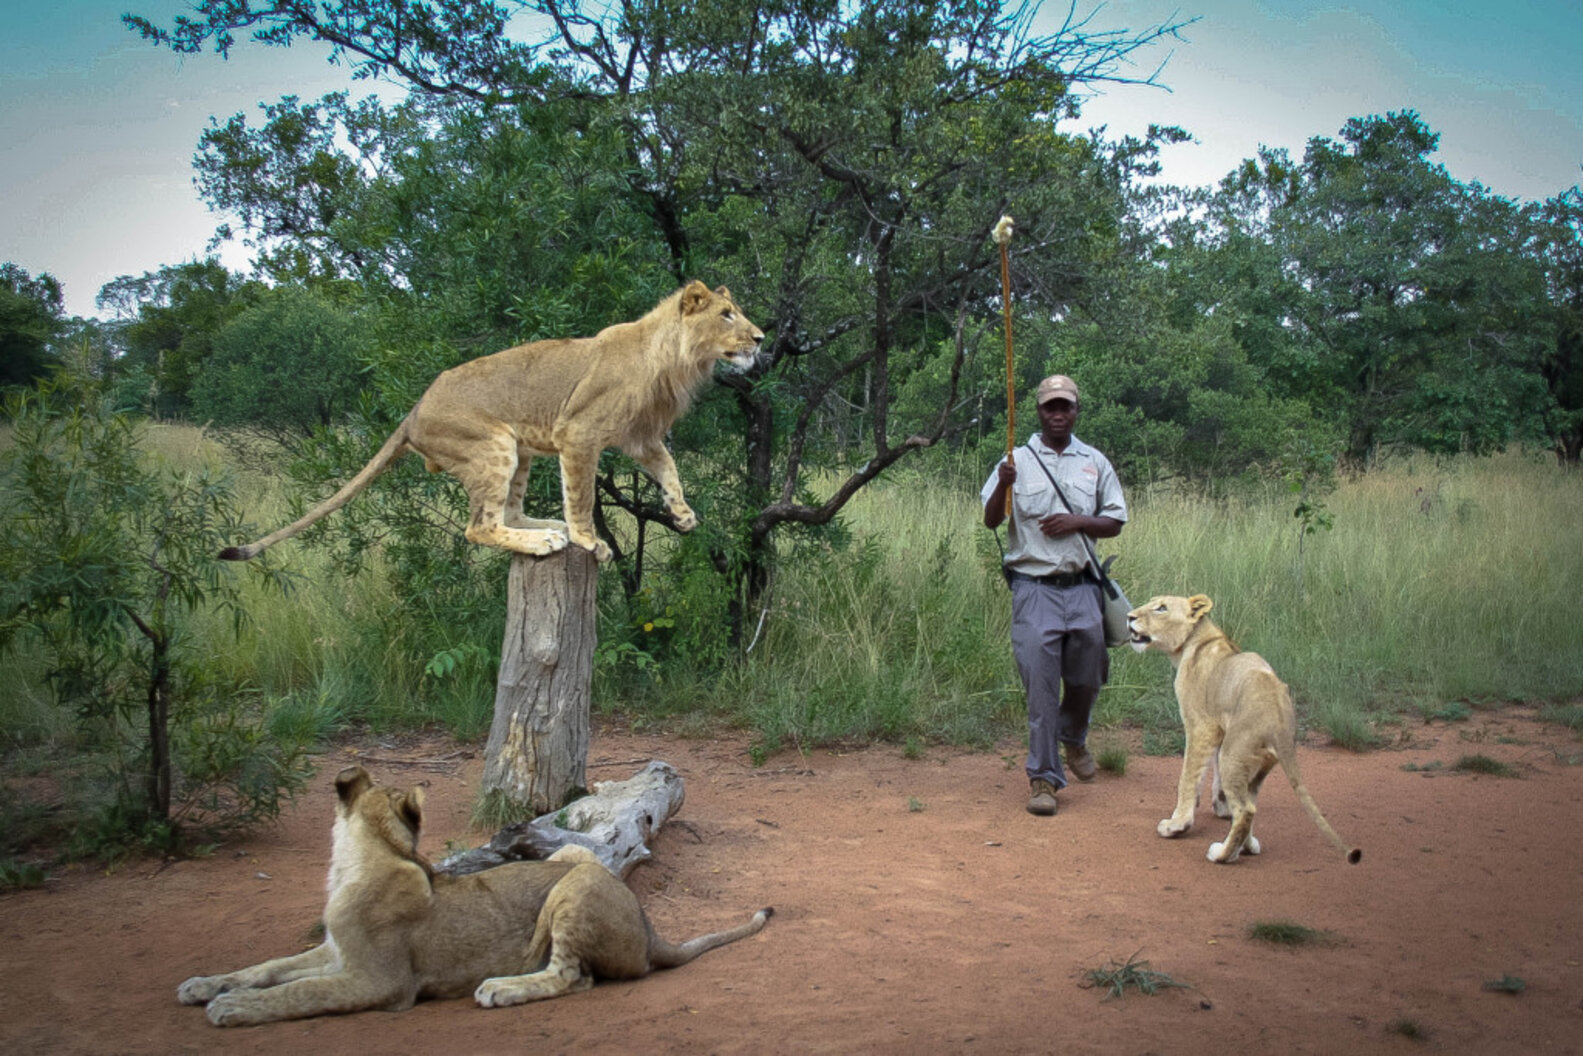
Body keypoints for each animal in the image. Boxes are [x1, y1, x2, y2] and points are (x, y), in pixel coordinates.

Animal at [177, 766, 773, 1027]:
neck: (372, 856)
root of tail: (651, 930)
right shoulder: (336, 952)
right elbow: (270, 966)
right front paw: (204, 984)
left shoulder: (380, 981)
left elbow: (299, 992)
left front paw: (232, 1007)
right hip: (568, 858)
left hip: (575, 885)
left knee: (570, 977)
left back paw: (500, 989)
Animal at [218, 281, 764, 564]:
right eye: (727, 314)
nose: (760, 338)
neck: (675, 360)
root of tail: (413, 410)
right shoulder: (578, 433)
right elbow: (582, 495)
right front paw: (590, 541)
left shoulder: (641, 437)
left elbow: (670, 470)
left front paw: (684, 515)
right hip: (492, 444)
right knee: (478, 527)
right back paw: (549, 540)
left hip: (517, 450)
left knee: (510, 513)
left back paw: (547, 529)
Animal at [1127, 595, 1362, 865]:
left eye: (1161, 608)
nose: (1129, 617)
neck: (1198, 639)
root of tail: (1280, 718)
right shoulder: (1220, 729)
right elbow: (1214, 778)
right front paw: (1220, 805)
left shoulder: (1201, 727)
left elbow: (1188, 777)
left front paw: (1177, 824)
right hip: (1255, 762)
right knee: (1249, 804)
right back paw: (1246, 846)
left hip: (1233, 752)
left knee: (1246, 810)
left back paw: (1221, 854)